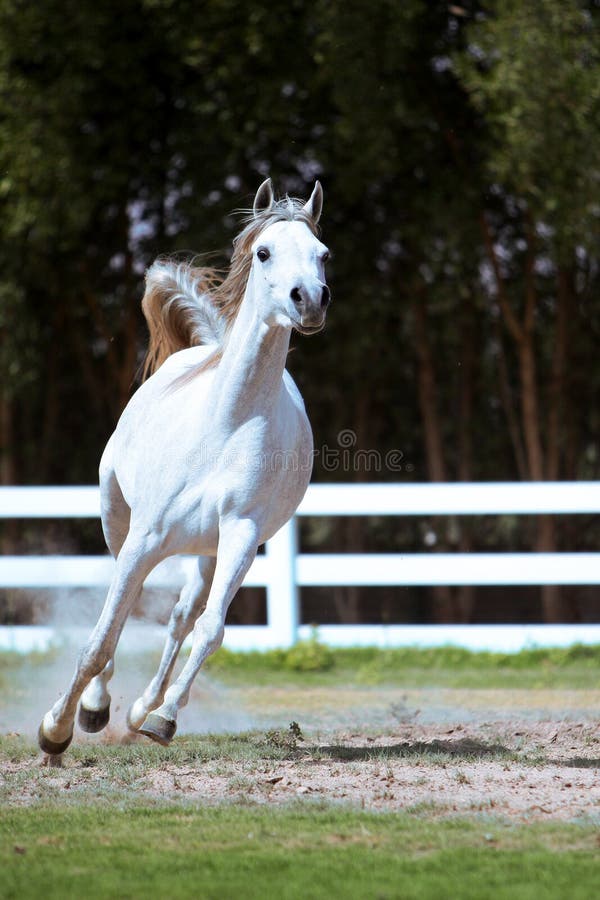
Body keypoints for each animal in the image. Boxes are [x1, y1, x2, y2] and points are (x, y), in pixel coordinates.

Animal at [38, 179, 330, 755]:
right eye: (264, 252)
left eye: (322, 254)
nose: (308, 299)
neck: (224, 424)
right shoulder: (145, 538)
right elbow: (102, 637)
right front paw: (57, 728)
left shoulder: (240, 534)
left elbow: (209, 629)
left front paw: (162, 718)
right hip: (117, 518)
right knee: (124, 612)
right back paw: (96, 707)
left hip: (207, 553)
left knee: (180, 619)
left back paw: (142, 709)